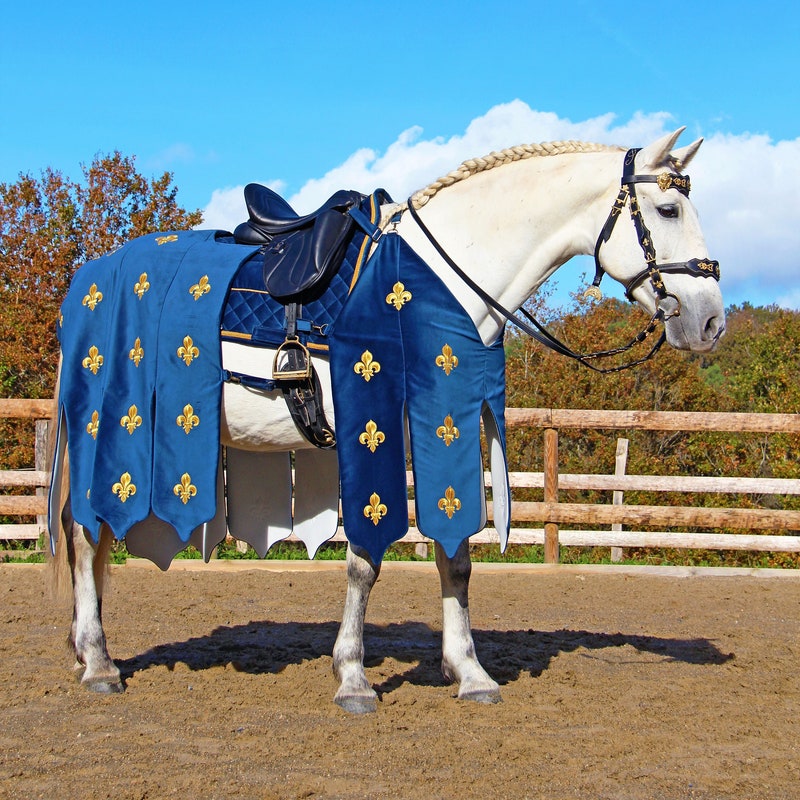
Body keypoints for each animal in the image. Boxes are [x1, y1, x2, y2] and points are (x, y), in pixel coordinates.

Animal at [49, 128, 725, 714]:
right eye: (668, 210)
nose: (711, 322)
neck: (444, 278)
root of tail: (86, 280)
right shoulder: (370, 434)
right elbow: (365, 561)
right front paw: (352, 677)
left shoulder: (444, 424)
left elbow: (456, 557)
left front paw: (469, 672)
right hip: (108, 432)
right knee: (84, 534)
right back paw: (100, 663)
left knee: (92, 537)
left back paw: (85, 651)